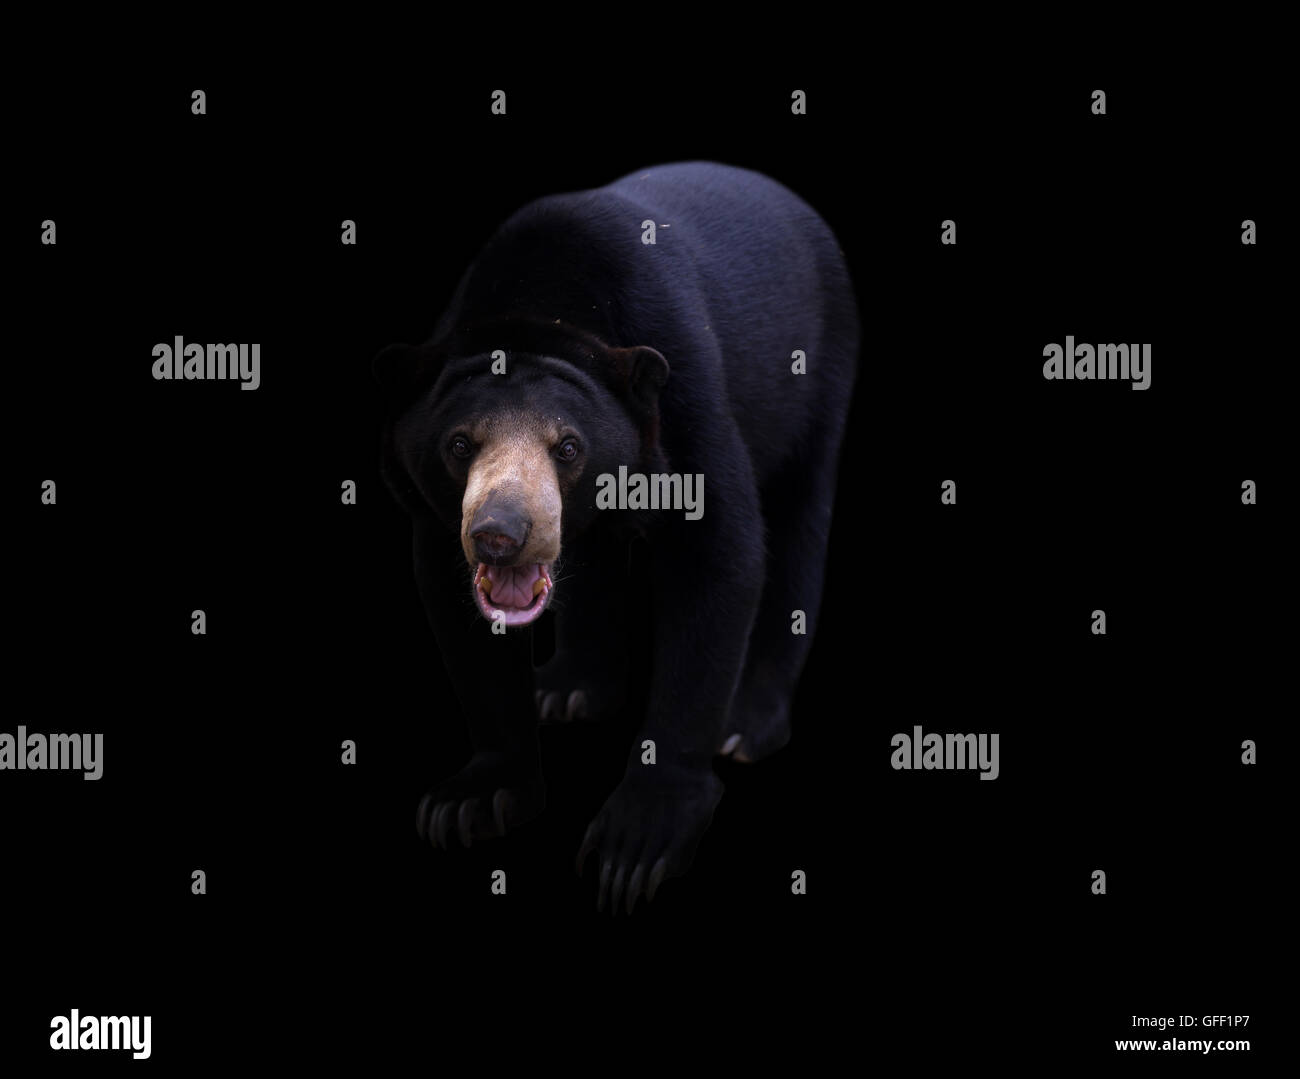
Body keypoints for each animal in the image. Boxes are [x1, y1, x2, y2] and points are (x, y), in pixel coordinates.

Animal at [374, 161, 858, 913]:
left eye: (568, 446)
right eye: (459, 444)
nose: (499, 535)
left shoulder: (684, 392)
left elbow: (719, 557)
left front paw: (636, 846)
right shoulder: (431, 511)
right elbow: (460, 619)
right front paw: (468, 802)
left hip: (818, 376)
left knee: (799, 525)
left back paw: (747, 727)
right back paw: (569, 690)